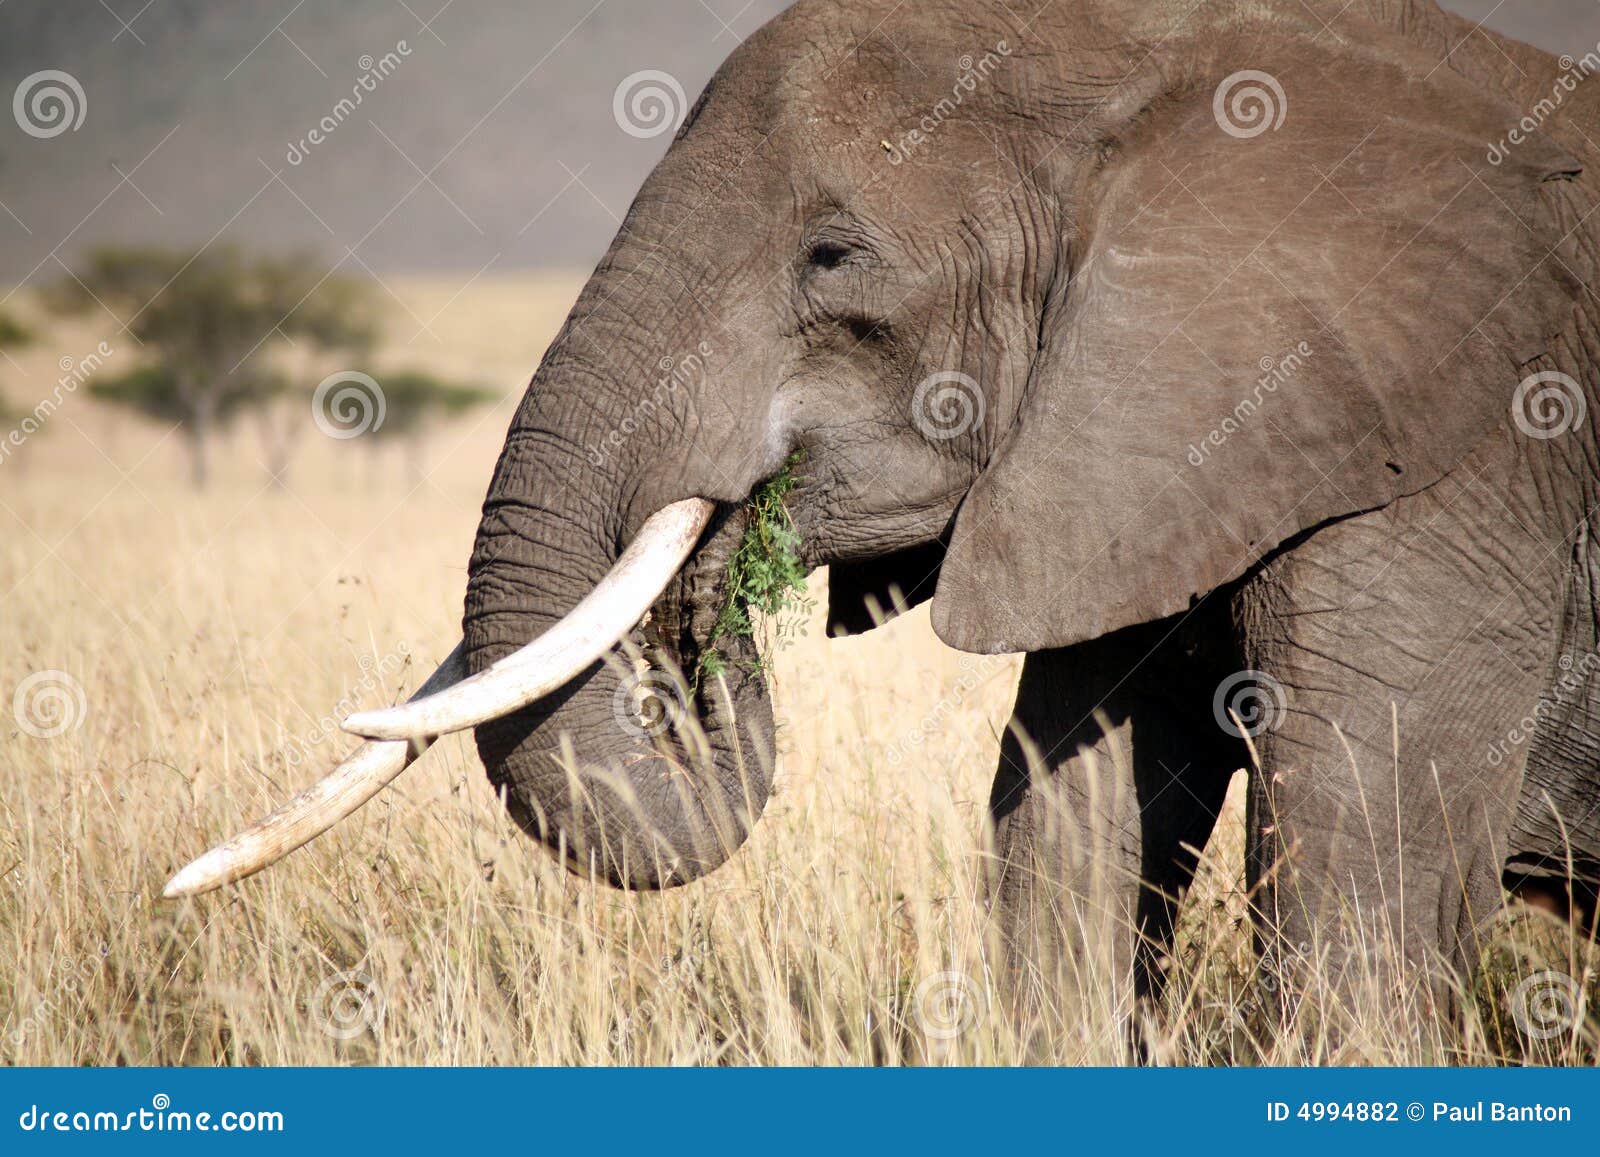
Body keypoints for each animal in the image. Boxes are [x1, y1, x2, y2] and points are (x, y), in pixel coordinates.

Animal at [170, 0, 1600, 1021]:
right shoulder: (1140, 457)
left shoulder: (1465, 459)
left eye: (831, 256)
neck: (1165, 56)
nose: (720, 585)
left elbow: (1365, 893)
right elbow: (1066, 833)